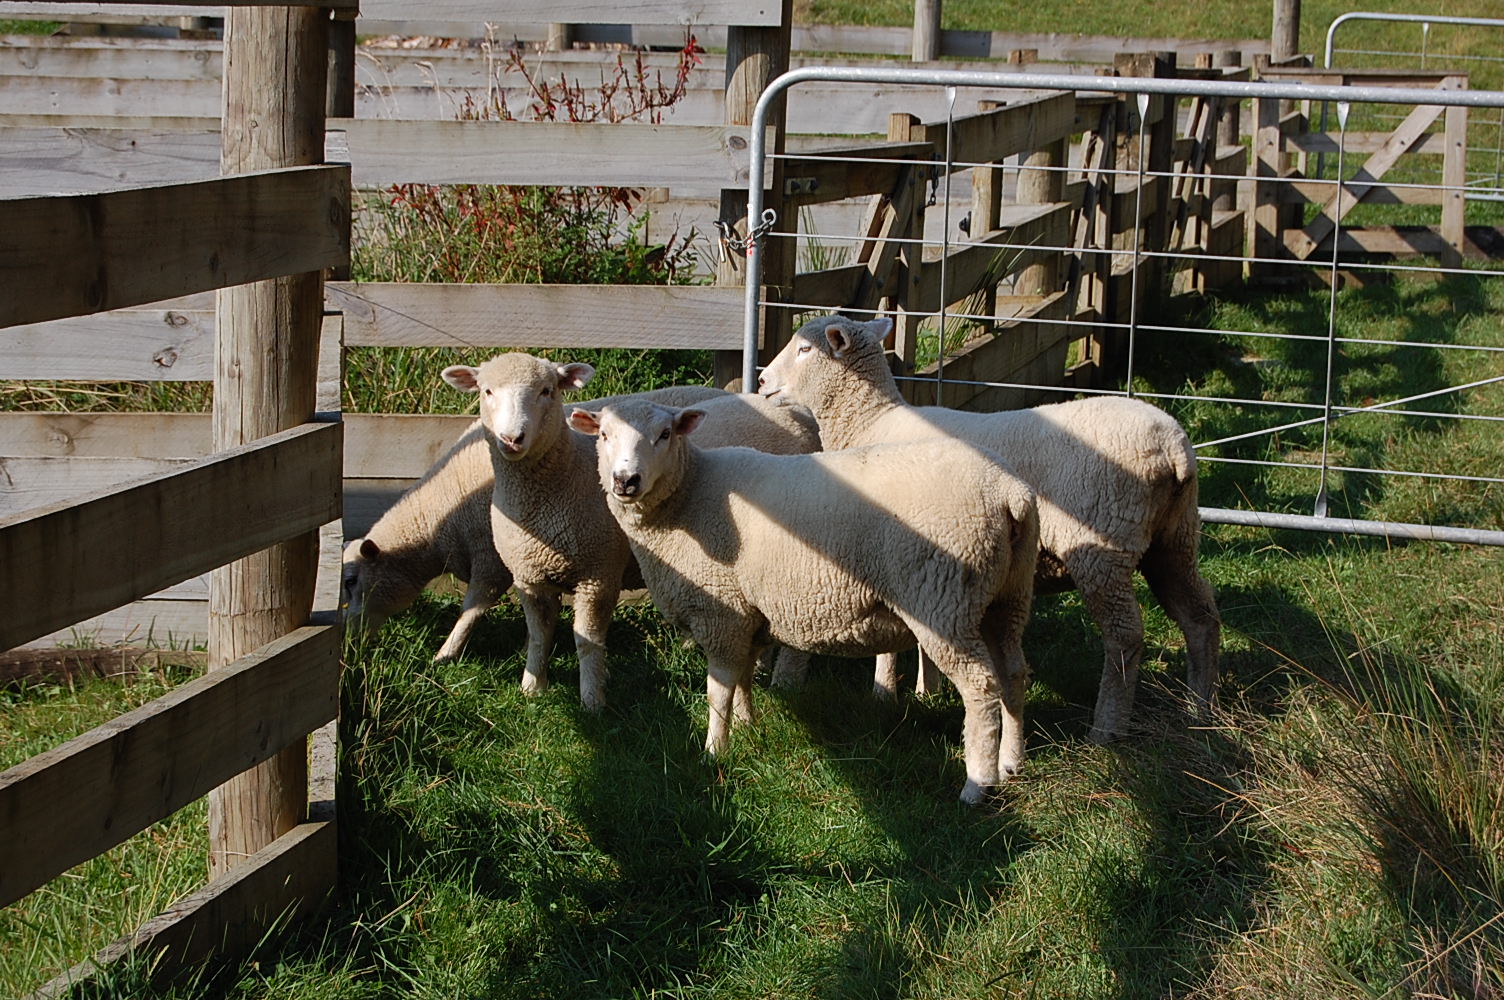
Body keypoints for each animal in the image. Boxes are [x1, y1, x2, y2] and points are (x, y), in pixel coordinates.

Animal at [441, 353, 820, 710]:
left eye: (546, 390)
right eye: (487, 391)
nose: (511, 438)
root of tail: (795, 411)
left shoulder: (598, 575)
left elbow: (586, 640)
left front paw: (592, 700)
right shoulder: (528, 576)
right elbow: (538, 635)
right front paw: (532, 686)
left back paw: (786, 680)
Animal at [569, 398, 1038, 803]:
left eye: (665, 434)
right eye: (604, 435)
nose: (625, 481)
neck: (690, 496)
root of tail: (1009, 493)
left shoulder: (721, 611)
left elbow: (718, 687)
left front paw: (713, 750)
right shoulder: (749, 611)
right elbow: (743, 677)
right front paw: (749, 724)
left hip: (944, 601)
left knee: (980, 688)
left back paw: (977, 785)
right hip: (1005, 597)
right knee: (1013, 674)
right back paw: (1011, 763)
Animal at [757, 314, 1221, 743]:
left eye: (805, 350)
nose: (761, 380)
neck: (869, 421)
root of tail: (1175, 447)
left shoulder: (888, 553)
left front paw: (883, 693)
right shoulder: (926, 558)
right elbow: (924, 637)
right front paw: (928, 690)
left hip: (1102, 545)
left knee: (1125, 636)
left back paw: (1106, 730)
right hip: (1174, 538)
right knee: (1200, 618)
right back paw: (1199, 713)